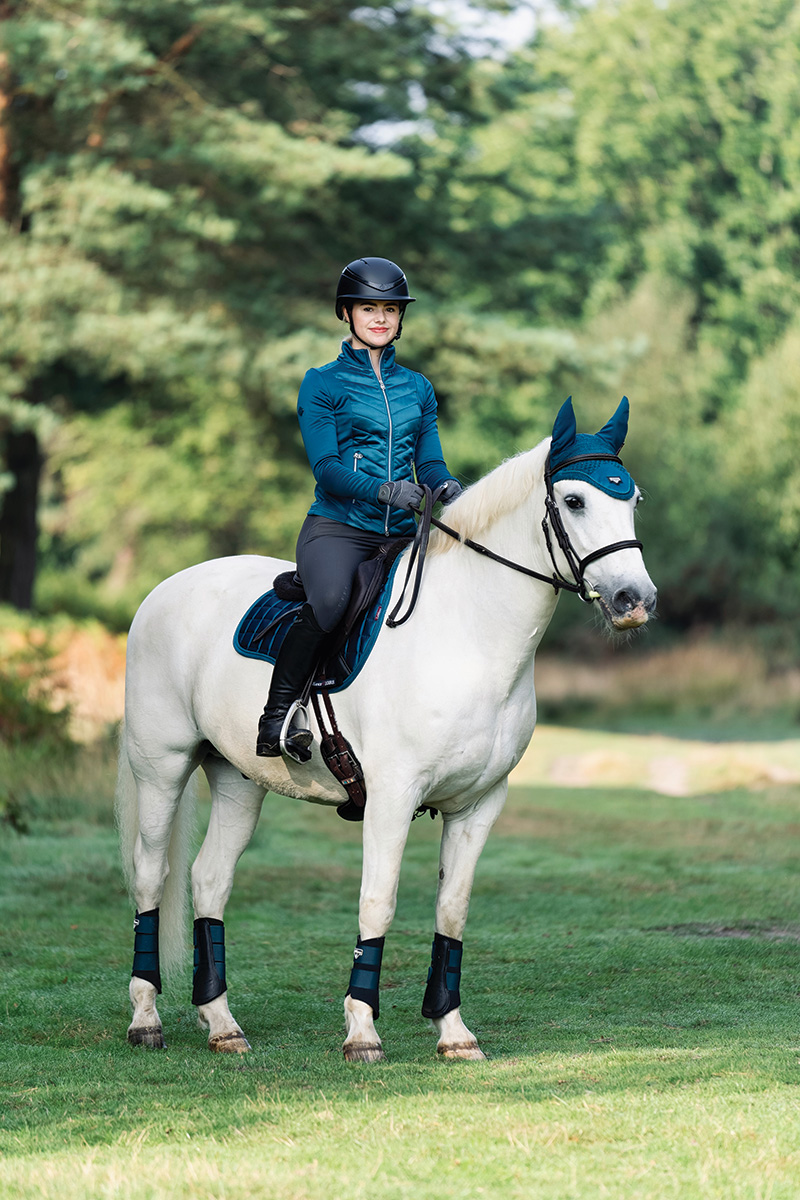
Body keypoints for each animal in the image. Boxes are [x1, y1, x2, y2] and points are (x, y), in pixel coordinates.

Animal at [116, 397, 656, 1062]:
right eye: (575, 500)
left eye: (633, 500)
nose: (635, 599)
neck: (467, 636)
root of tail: (164, 592)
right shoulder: (392, 797)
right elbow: (378, 902)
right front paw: (362, 1031)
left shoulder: (480, 804)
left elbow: (452, 911)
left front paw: (453, 1032)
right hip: (162, 768)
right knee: (150, 875)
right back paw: (146, 1019)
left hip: (240, 778)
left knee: (208, 880)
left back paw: (222, 1024)